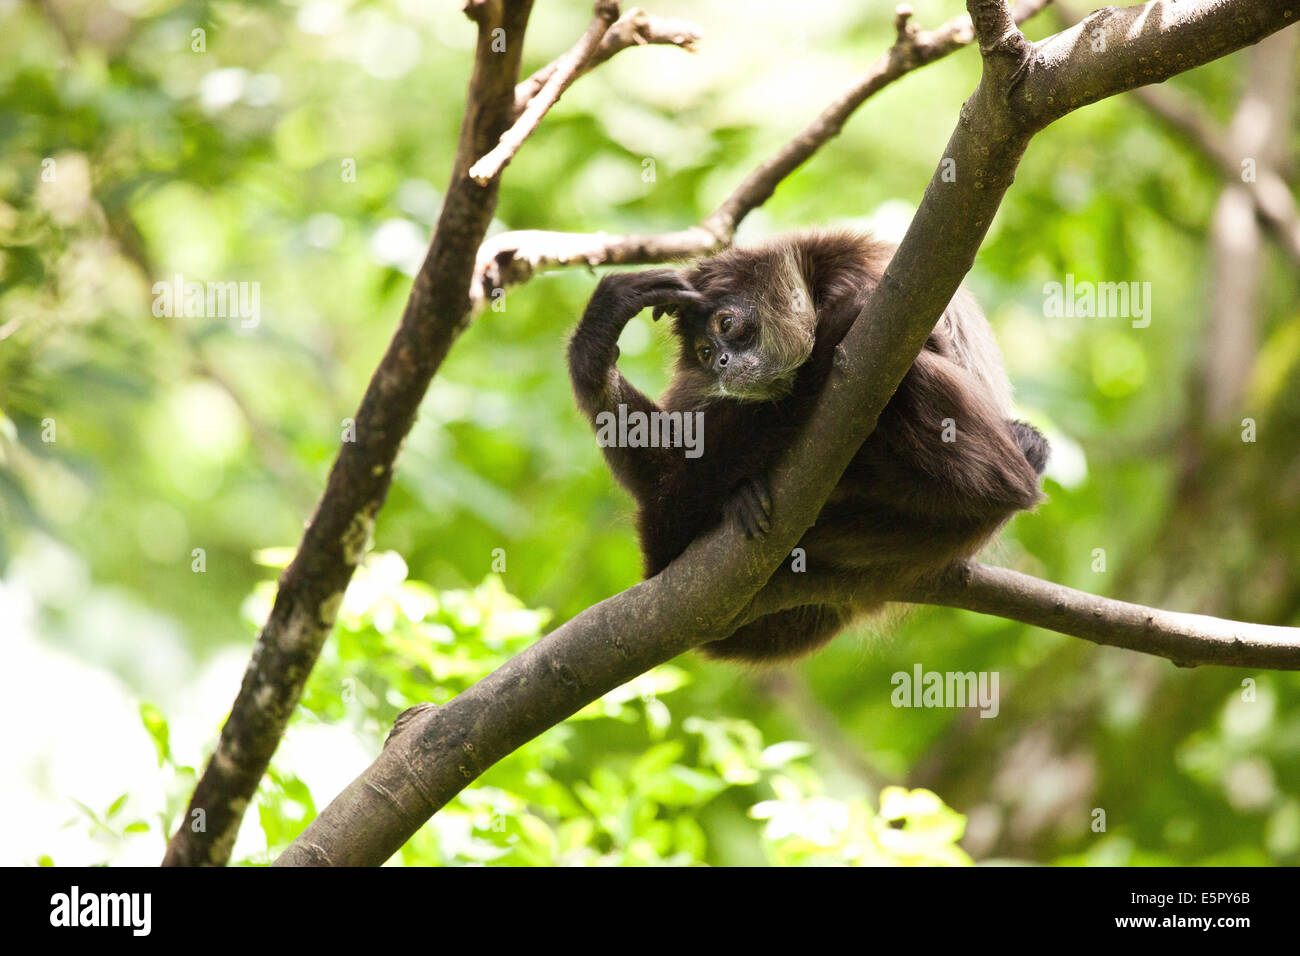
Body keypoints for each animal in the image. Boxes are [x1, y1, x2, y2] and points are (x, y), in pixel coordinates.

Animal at [567, 229, 1048, 663]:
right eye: (704, 351)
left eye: (727, 324)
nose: (721, 362)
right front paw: (596, 338)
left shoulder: (874, 284)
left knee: (997, 476)